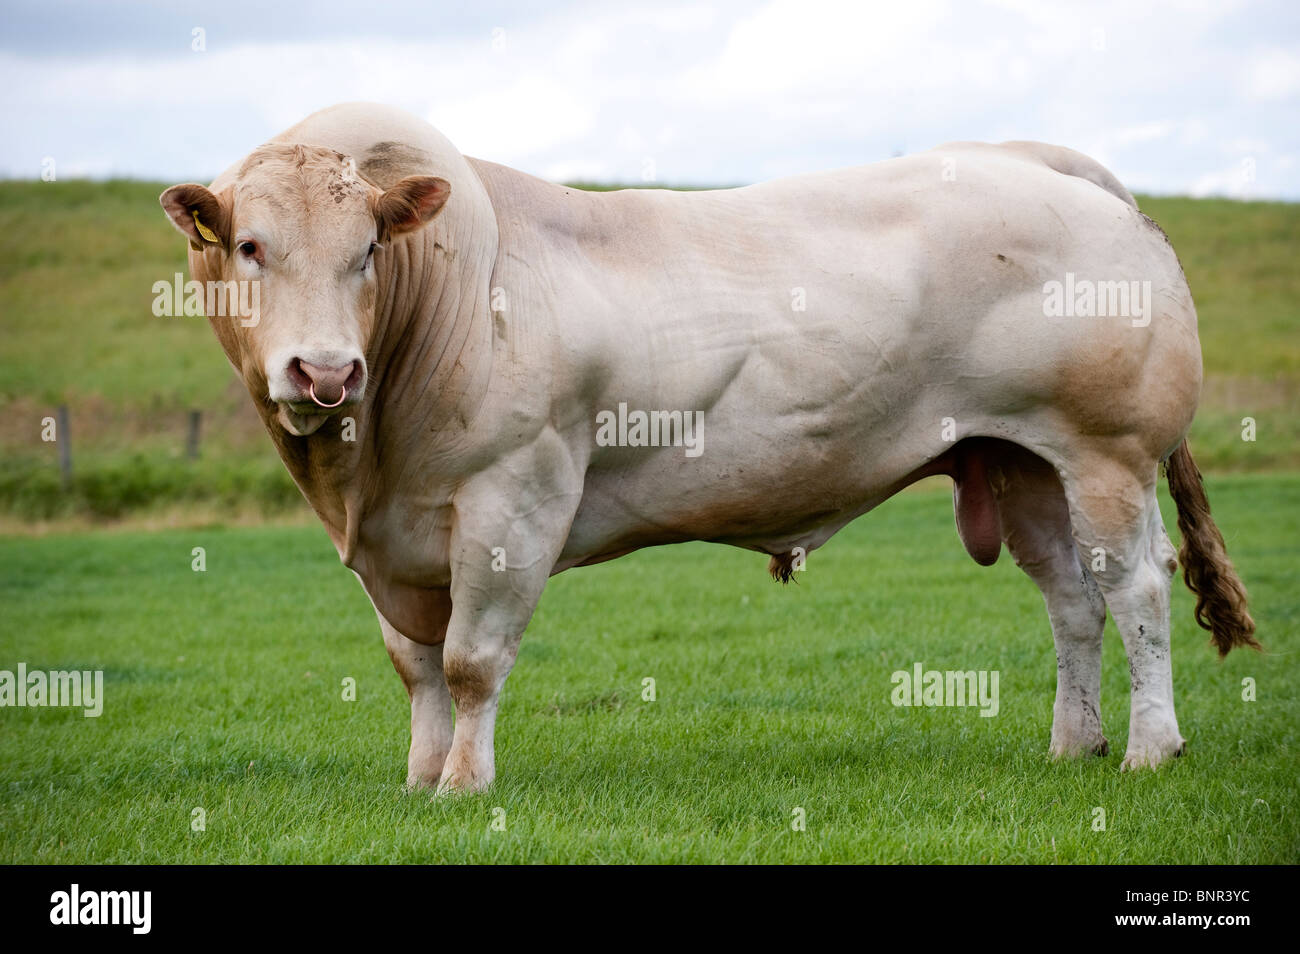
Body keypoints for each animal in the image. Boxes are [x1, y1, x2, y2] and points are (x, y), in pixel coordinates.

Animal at [160, 102, 1258, 793]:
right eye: (250, 246)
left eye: (367, 252)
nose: (323, 370)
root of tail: (1035, 158)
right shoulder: (398, 550)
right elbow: (416, 670)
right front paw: (422, 780)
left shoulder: (515, 498)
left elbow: (471, 663)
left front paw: (467, 787)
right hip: (1022, 460)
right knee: (1071, 599)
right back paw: (1074, 744)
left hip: (1105, 452)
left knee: (1135, 588)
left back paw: (1150, 748)